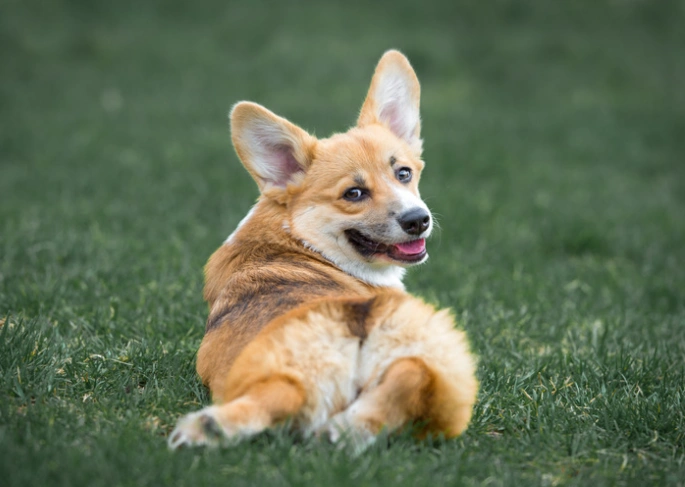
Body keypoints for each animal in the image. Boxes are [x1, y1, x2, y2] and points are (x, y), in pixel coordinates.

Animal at [167, 50, 476, 454]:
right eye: (354, 194)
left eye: (404, 174)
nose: (418, 220)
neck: (297, 237)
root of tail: (350, 323)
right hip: (447, 367)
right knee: (414, 375)